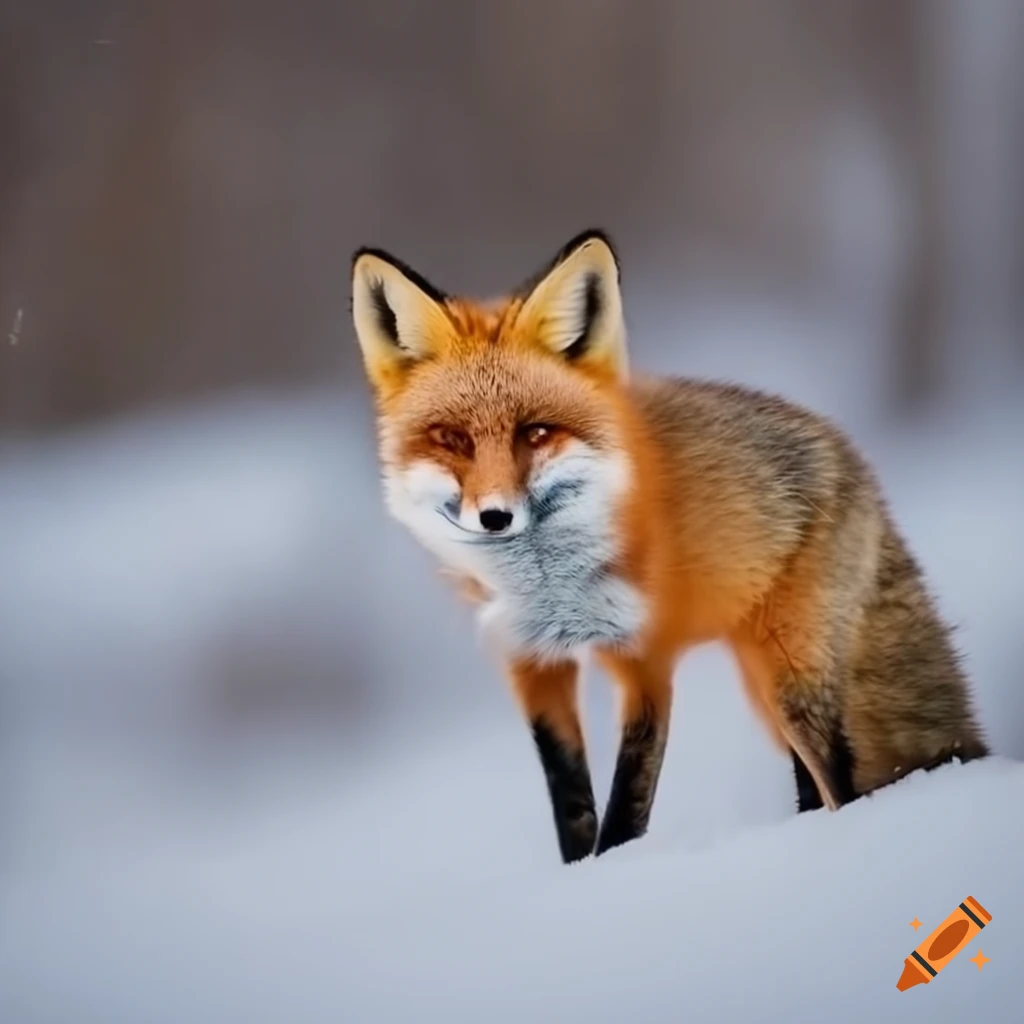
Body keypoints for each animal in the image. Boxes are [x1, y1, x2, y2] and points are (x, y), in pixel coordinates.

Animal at [349, 228, 990, 864]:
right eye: (451, 438)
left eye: (536, 432)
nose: (495, 517)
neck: (554, 587)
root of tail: (846, 448)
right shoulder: (532, 660)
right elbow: (571, 801)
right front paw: (578, 872)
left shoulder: (645, 660)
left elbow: (629, 799)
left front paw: (614, 868)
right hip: (762, 683)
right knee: (814, 786)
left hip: (790, 682)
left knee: (841, 778)